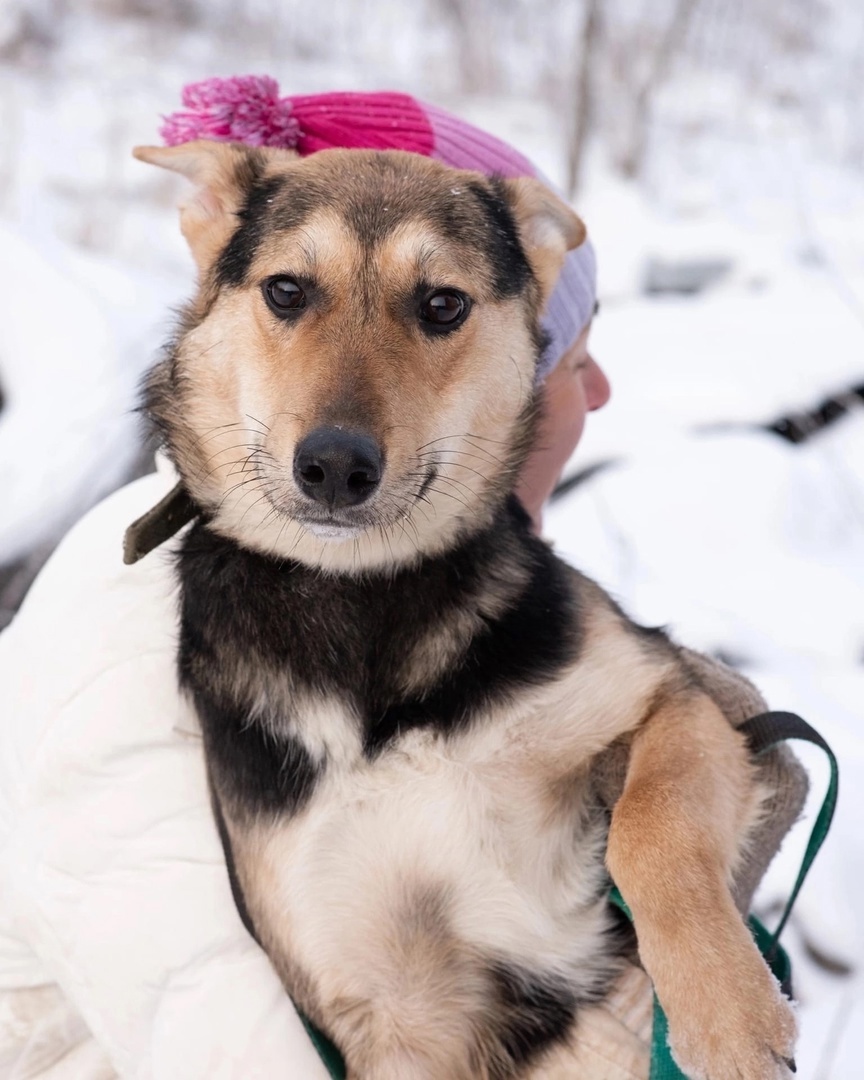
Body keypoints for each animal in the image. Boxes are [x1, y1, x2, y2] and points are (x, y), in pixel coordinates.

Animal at [135, 141, 794, 1080]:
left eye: (442, 304)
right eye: (286, 291)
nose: (334, 467)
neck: (367, 599)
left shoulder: (663, 694)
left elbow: (652, 829)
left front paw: (729, 1011)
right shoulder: (393, 1013)